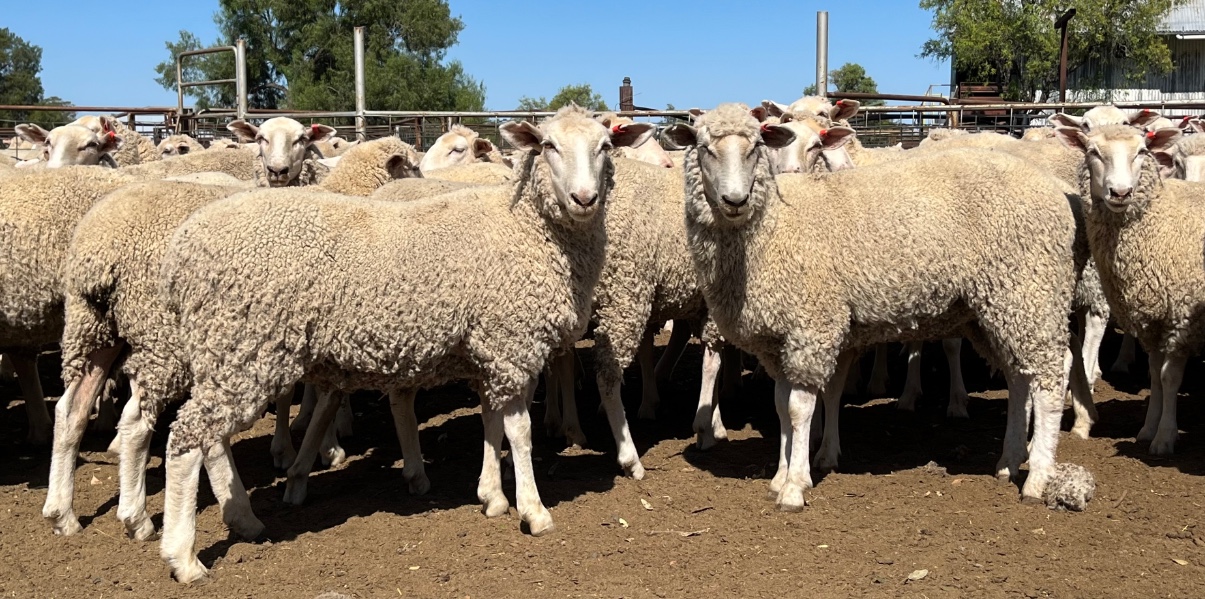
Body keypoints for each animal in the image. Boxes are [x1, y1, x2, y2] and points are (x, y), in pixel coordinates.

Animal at [42, 137, 425, 540]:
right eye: (413, 165)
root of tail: (96, 248)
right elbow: (324, 396)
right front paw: (322, 449)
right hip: (171, 337)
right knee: (148, 422)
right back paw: (146, 518)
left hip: (97, 328)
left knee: (72, 409)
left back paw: (62, 512)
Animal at [155, 105, 653, 583]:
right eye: (548, 145)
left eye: (606, 146)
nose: (584, 198)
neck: (528, 230)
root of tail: (180, 248)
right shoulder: (511, 342)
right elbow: (519, 432)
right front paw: (533, 510)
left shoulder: (491, 349)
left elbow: (492, 423)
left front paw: (491, 495)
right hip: (244, 344)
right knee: (187, 440)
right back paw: (184, 557)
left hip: (226, 350)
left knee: (211, 438)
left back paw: (242, 518)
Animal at [664, 103, 1085, 511]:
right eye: (703, 148)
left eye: (754, 148)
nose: (735, 200)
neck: (773, 227)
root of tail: (1058, 190)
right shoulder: (777, 341)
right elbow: (781, 407)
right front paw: (780, 476)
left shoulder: (810, 325)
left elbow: (800, 409)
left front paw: (795, 487)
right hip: (993, 308)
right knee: (1018, 377)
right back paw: (1009, 461)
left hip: (1031, 288)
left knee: (1050, 379)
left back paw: (1037, 478)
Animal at [1056, 123, 1205, 455]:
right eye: (1093, 152)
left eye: (1142, 152)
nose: (1121, 192)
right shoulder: (1151, 320)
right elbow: (1155, 374)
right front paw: (1148, 429)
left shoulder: (1182, 318)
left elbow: (1169, 377)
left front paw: (1165, 438)